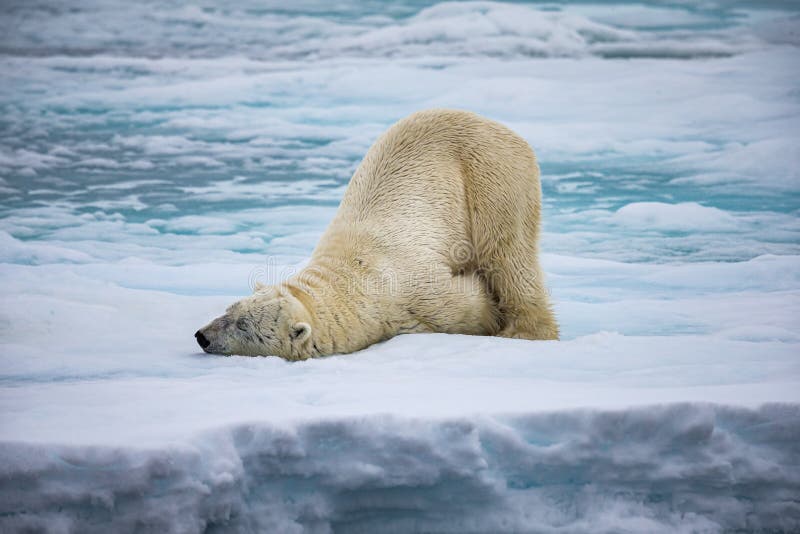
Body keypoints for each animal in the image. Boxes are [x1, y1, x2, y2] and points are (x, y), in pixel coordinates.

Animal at [195, 109, 558, 360]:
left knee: (507, 252)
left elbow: (467, 302)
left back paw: (525, 332)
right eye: (229, 310)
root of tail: (502, 128)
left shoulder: (412, 289)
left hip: (490, 173)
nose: (202, 335)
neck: (351, 279)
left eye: (244, 325)